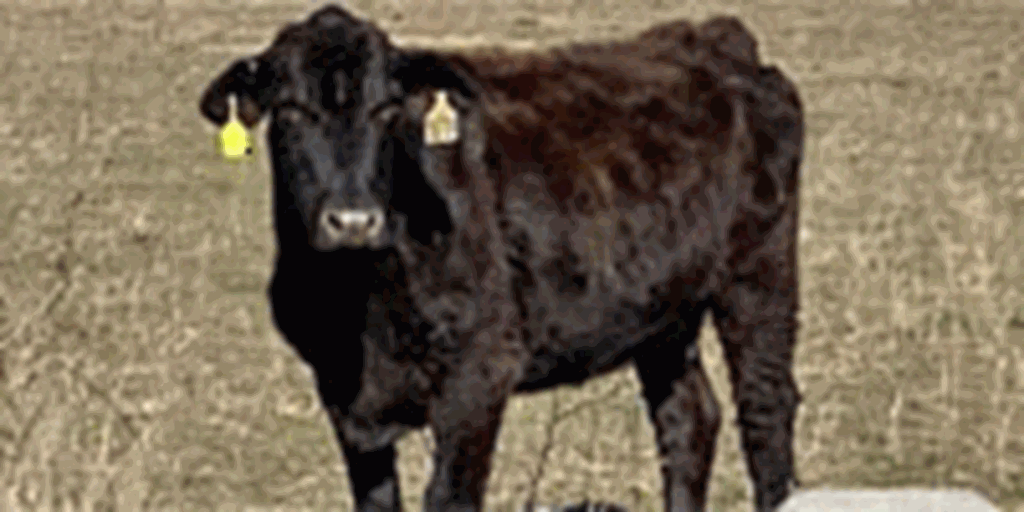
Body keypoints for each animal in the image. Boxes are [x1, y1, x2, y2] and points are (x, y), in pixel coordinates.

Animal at [198, 5, 804, 512]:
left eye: (388, 108)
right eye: (290, 110)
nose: (353, 220)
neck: (358, 308)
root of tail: (714, 37)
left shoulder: (480, 372)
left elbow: (451, 498)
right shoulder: (344, 397)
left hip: (760, 274)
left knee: (765, 408)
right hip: (662, 311)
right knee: (688, 420)